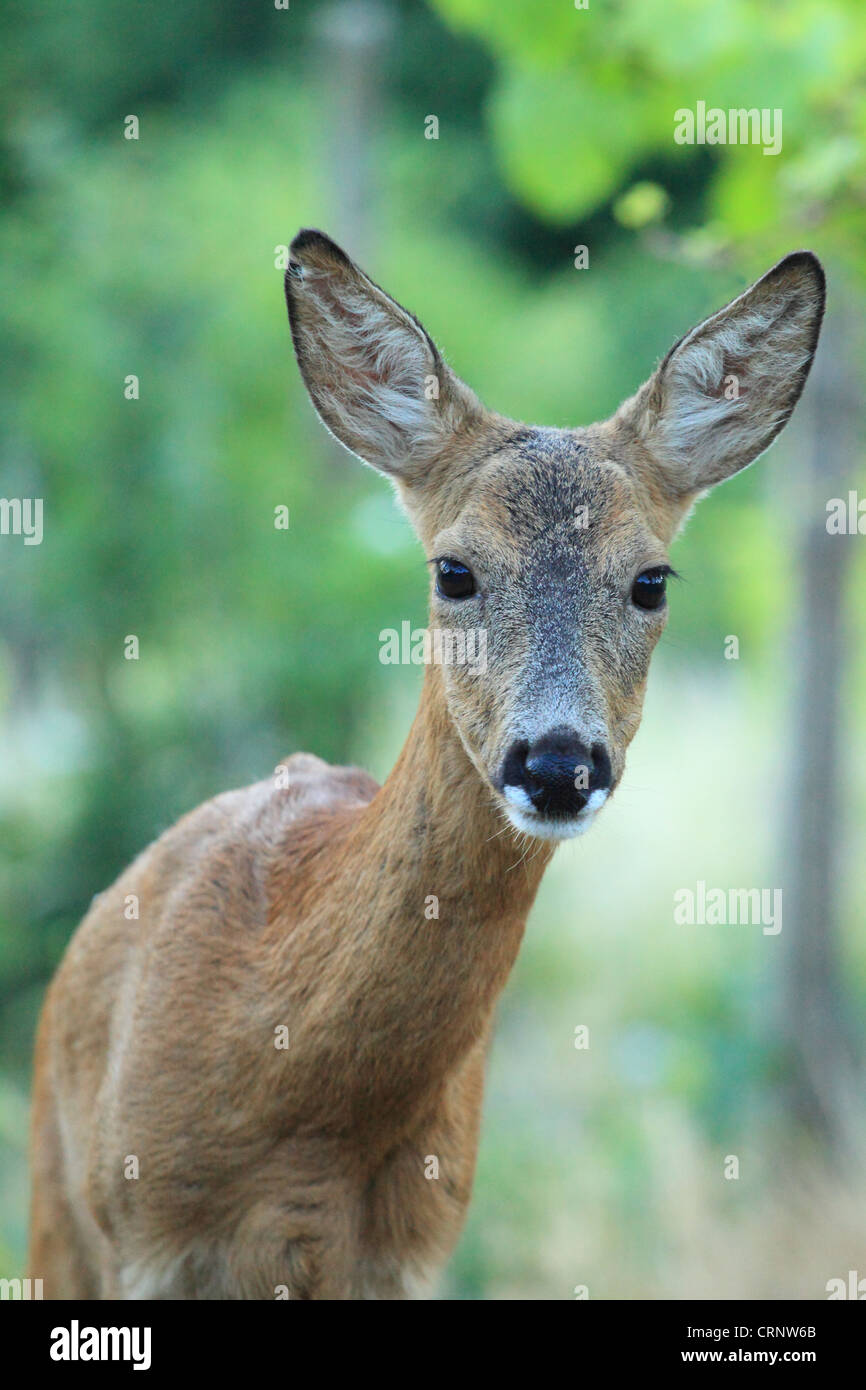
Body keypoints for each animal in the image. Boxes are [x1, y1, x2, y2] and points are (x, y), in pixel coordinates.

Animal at [28, 230, 825, 1299]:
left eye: (651, 580)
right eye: (455, 570)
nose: (558, 763)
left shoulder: (415, 1252)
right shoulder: (144, 1241)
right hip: (56, 1211)